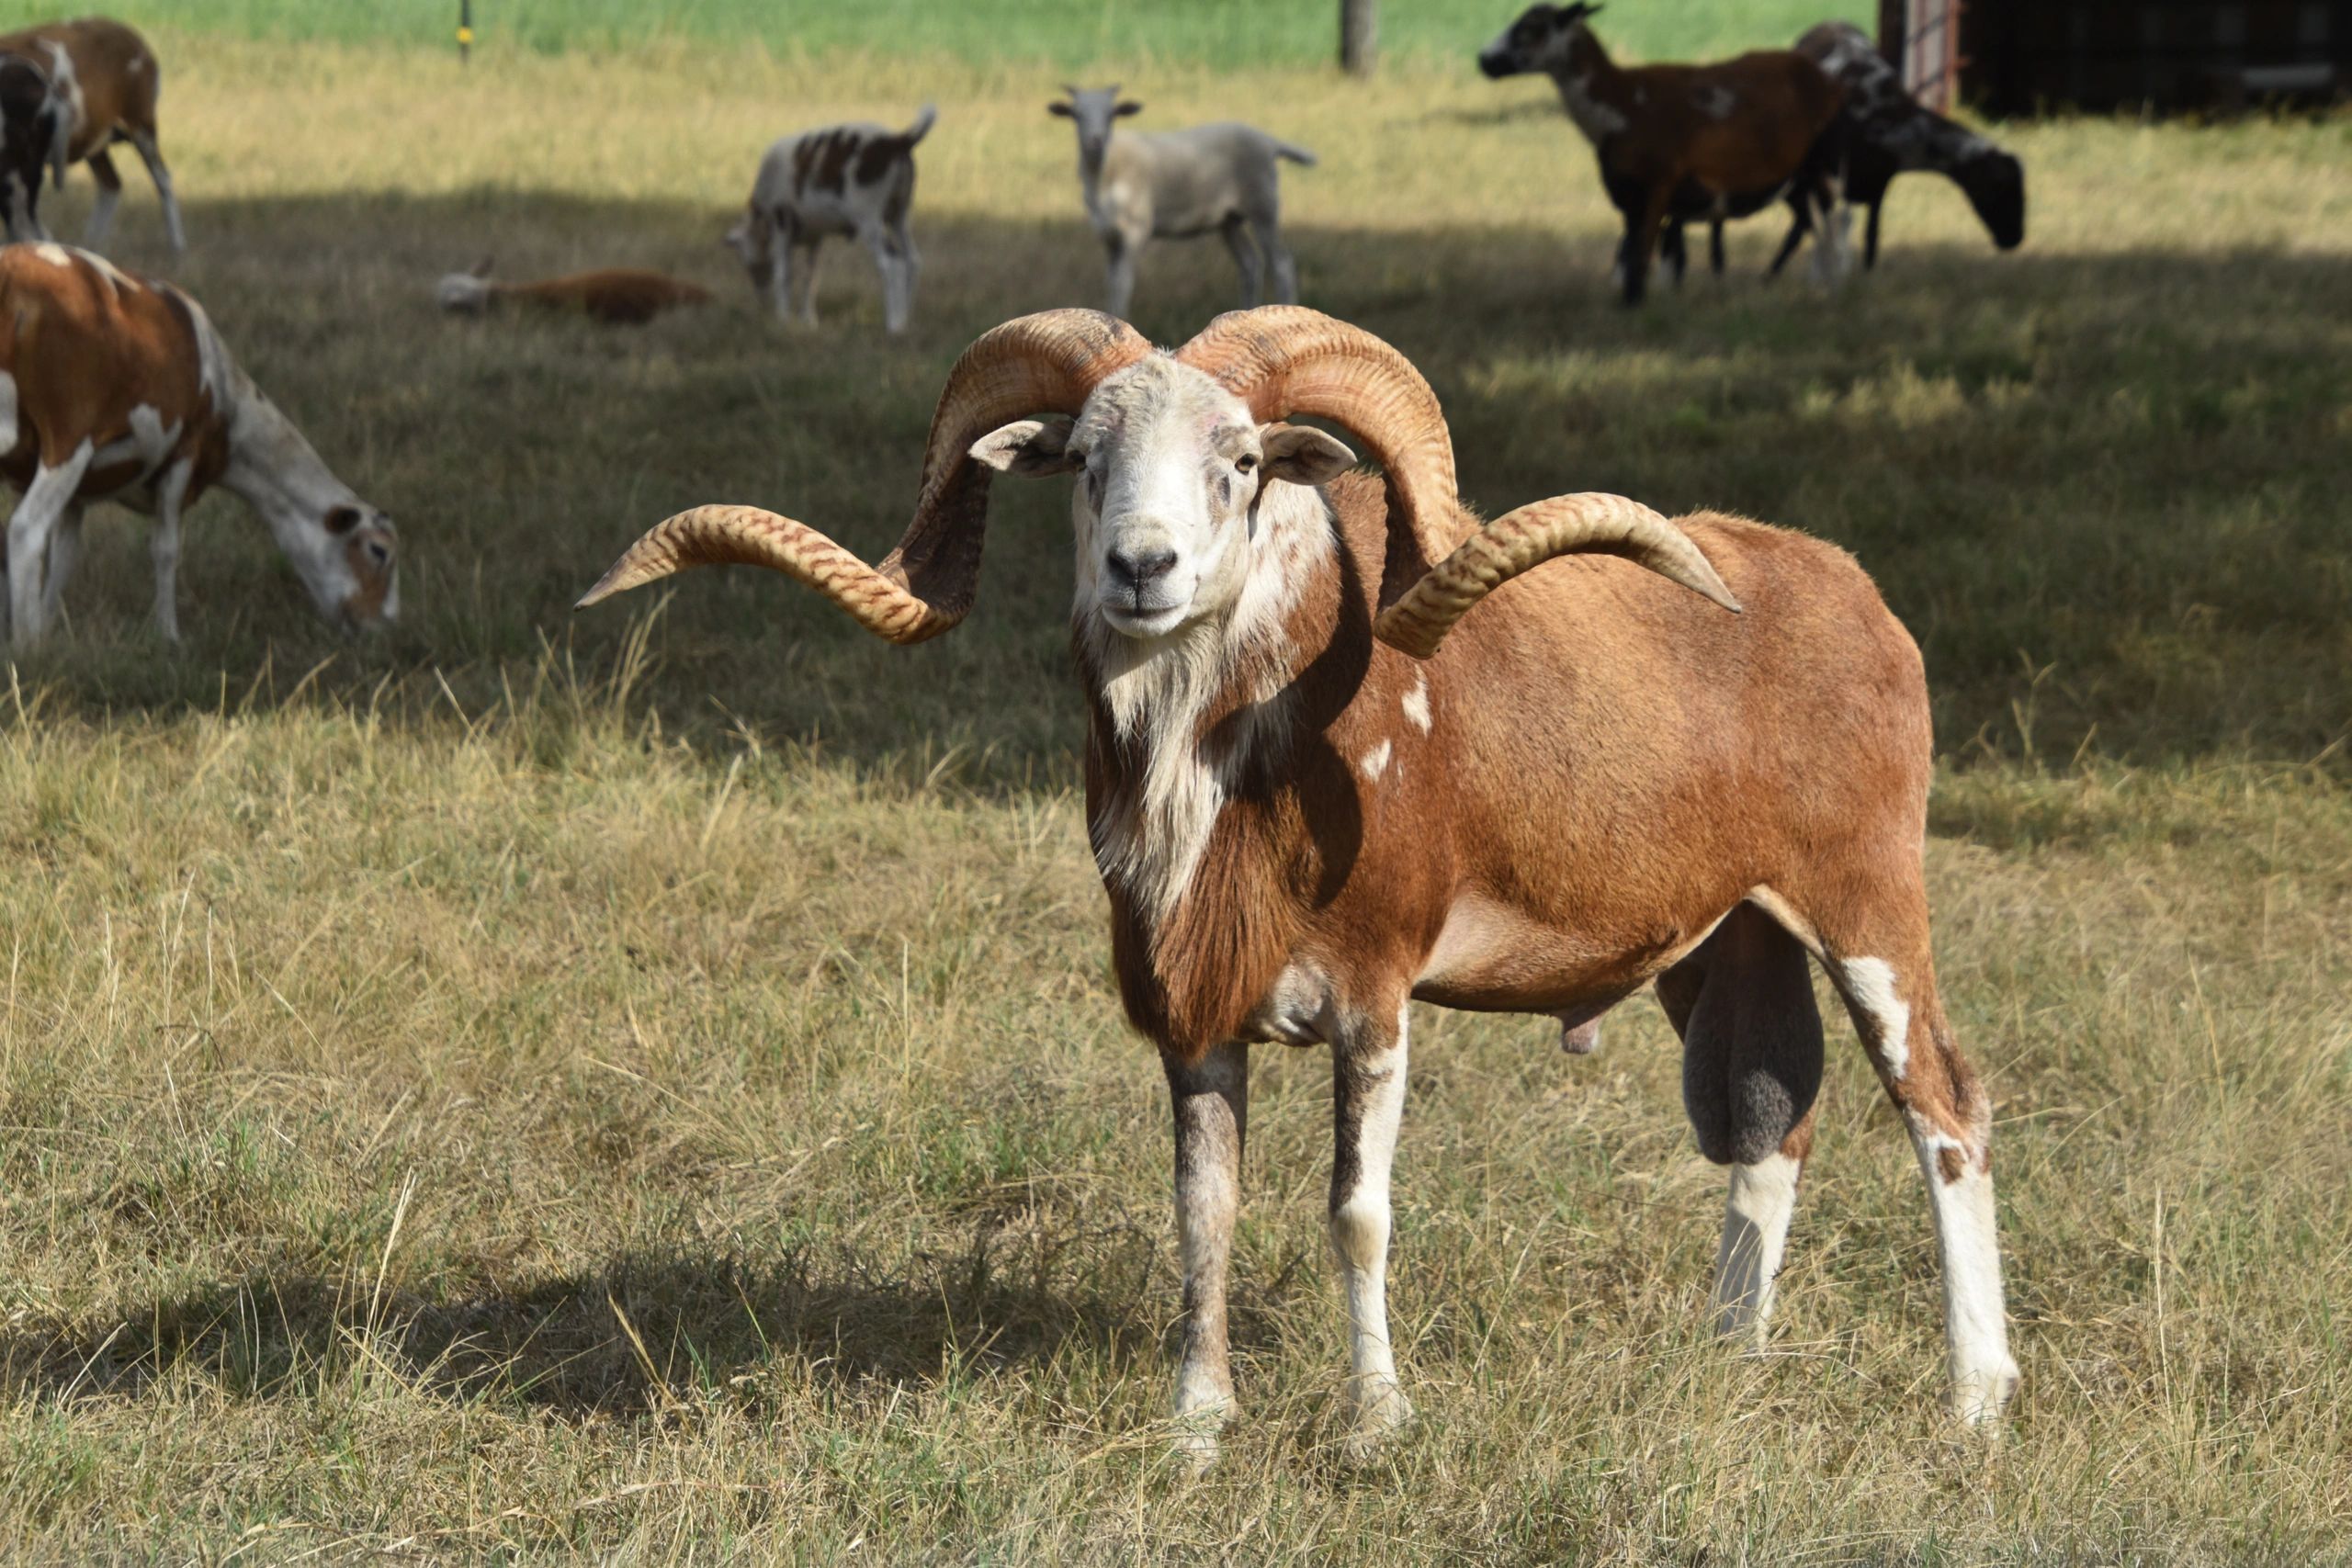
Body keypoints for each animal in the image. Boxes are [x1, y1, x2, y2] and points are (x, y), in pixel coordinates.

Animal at [0, 243, 397, 647]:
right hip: (68, 439)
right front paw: (169, 635)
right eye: (378, 551)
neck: (233, 411)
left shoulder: (82, 492)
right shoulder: (183, 455)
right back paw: (29, 646)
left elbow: (64, 558)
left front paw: (48, 624)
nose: (385, 628)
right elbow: (165, 550)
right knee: (25, 531)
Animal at [577, 305, 2020, 1467]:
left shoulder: (1373, 1002)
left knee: (1943, 1106)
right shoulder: (1197, 1019)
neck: (1243, 767)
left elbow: (1355, 1212)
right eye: (1088, 460)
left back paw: (1977, 1399)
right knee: (1769, 1120)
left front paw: (1377, 1420)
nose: (1143, 568)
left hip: (1867, 910)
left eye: (1241, 461)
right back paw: (1728, 1362)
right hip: (1730, 944)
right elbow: (1203, 1209)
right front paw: (1198, 1424)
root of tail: (1863, 608)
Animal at [726, 106, 934, 334]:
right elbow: (810, 278)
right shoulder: (814, 236)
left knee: (891, 263)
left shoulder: (781, 225)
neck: (761, 221)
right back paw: (907, 319)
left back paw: (894, 324)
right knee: (913, 260)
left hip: (868, 216)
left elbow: (784, 274)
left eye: (749, 265)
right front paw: (808, 320)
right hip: (898, 214)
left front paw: (783, 318)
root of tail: (897, 141)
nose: (761, 302)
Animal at [1049, 85, 1316, 318]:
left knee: (1281, 264)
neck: (1105, 172)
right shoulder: (1108, 235)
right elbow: (1111, 282)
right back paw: (1246, 311)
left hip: (1263, 206)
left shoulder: (1137, 230)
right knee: (1250, 264)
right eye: (1076, 115)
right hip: (1229, 220)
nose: (1095, 140)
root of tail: (1269, 141)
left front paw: (1122, 319)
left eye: (1111, 114)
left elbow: (1123, 283)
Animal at [1477, 2, 1848, 304]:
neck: (1621, 106)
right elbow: (1629, 258)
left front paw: (1635, 309)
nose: (1483, 60)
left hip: (1824, 165)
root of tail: (1826, 77)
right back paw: (1808, 284)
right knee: (1811, 225)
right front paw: (1628, 305)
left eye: (1530, 28)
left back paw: (1836, 286)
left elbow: (1641, 258)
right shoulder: (1627, 195)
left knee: (1834, 222)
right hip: (1797, 177)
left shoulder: (1659, 185)